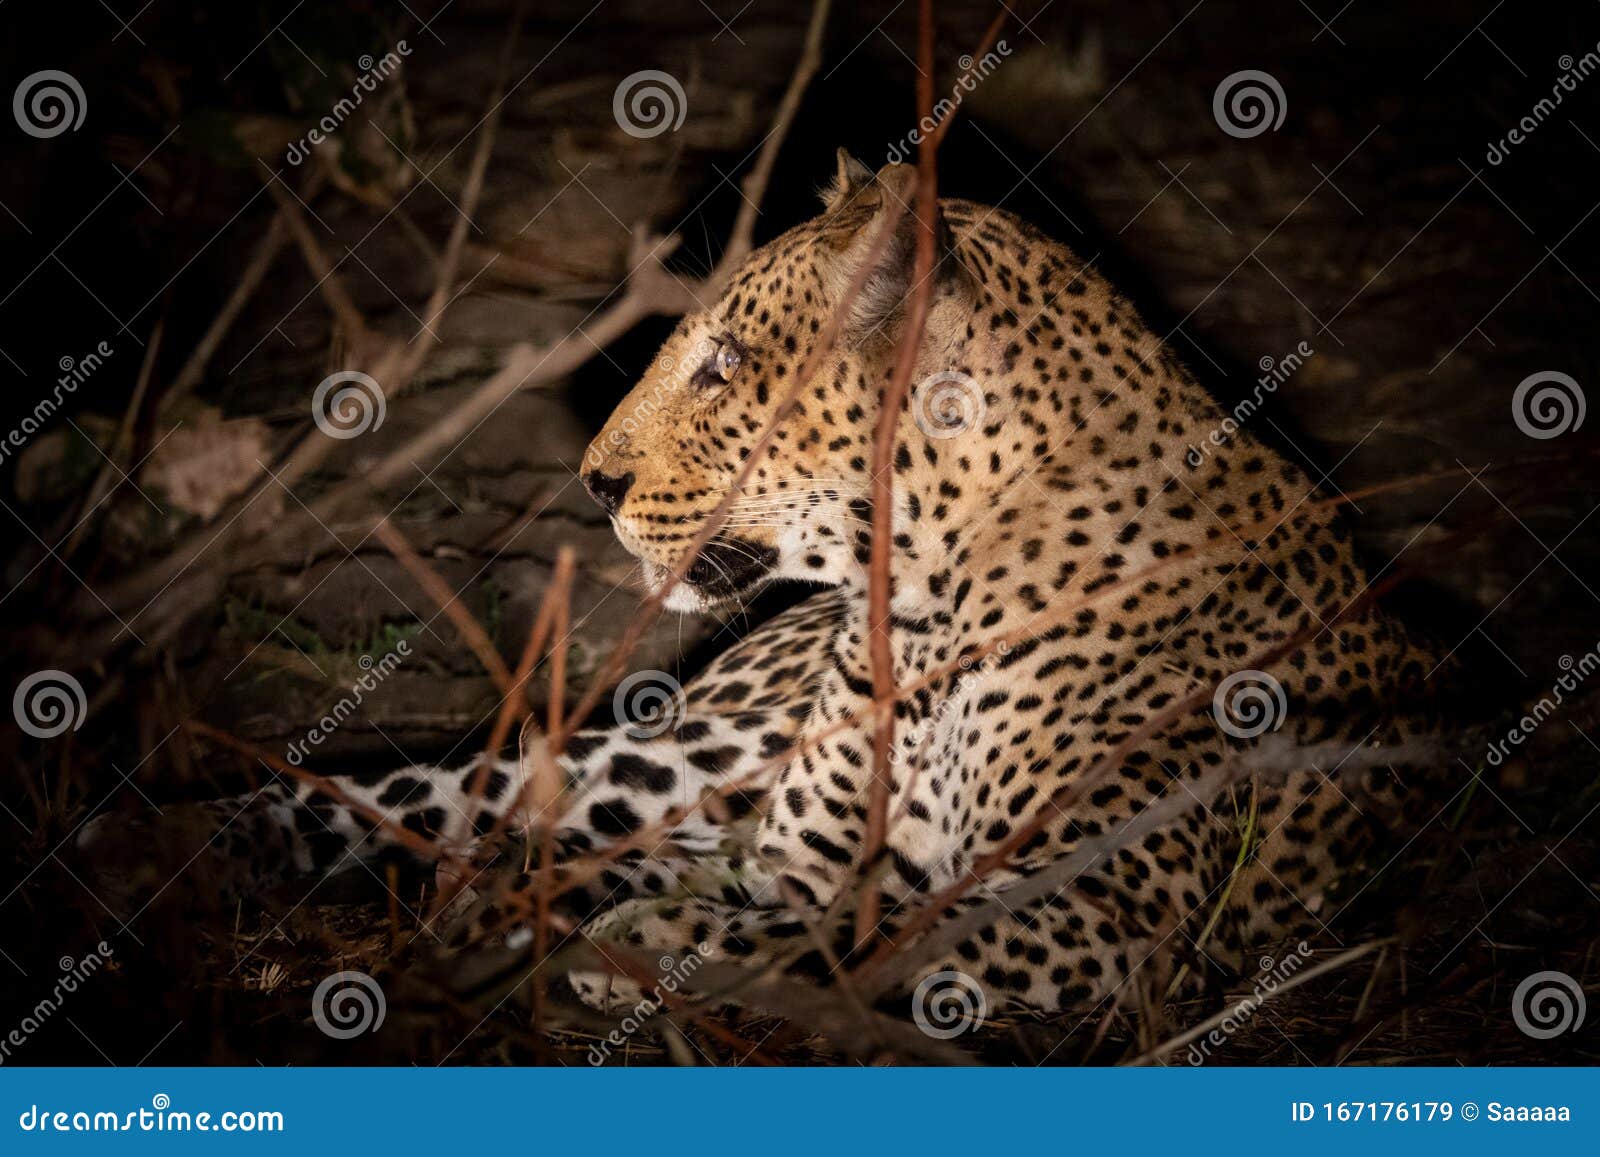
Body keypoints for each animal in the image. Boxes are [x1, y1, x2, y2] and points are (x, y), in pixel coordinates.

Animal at [80, 151, 1456, 1028]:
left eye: (729, 362)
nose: (591, 478)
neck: (921, 609)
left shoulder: (1106, 901)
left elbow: (881, 930)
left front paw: (645, 943)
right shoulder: (802, 849)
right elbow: (832, 909)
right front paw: (636, 936)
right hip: (693, 745)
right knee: (449, 792)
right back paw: (167, 849)